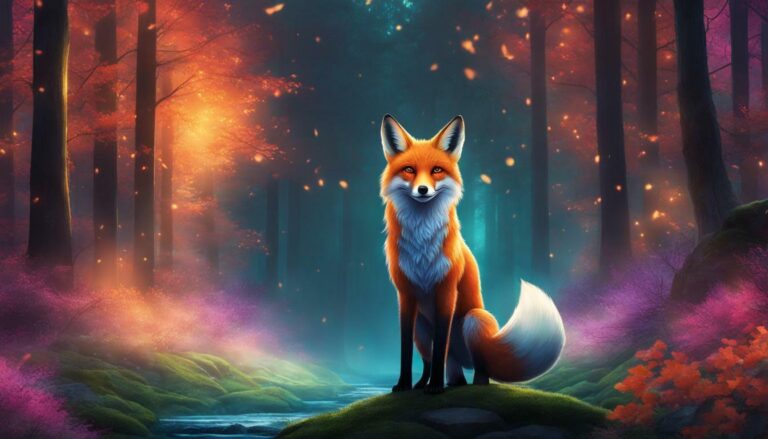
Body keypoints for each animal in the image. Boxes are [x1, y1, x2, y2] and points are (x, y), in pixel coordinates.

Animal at [380, 114, 565, 394]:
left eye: (436, 170)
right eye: (409, 170)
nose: (423, 190)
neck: (422, 242)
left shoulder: (447, 289)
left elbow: (440, 347)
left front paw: (436, 387)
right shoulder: (405, 294)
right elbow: (405, 351)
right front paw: (405, 385)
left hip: (474, 320)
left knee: (477, 366)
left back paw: (471, 383)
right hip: (422, 329)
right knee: (435, 362)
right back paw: (430, 383)